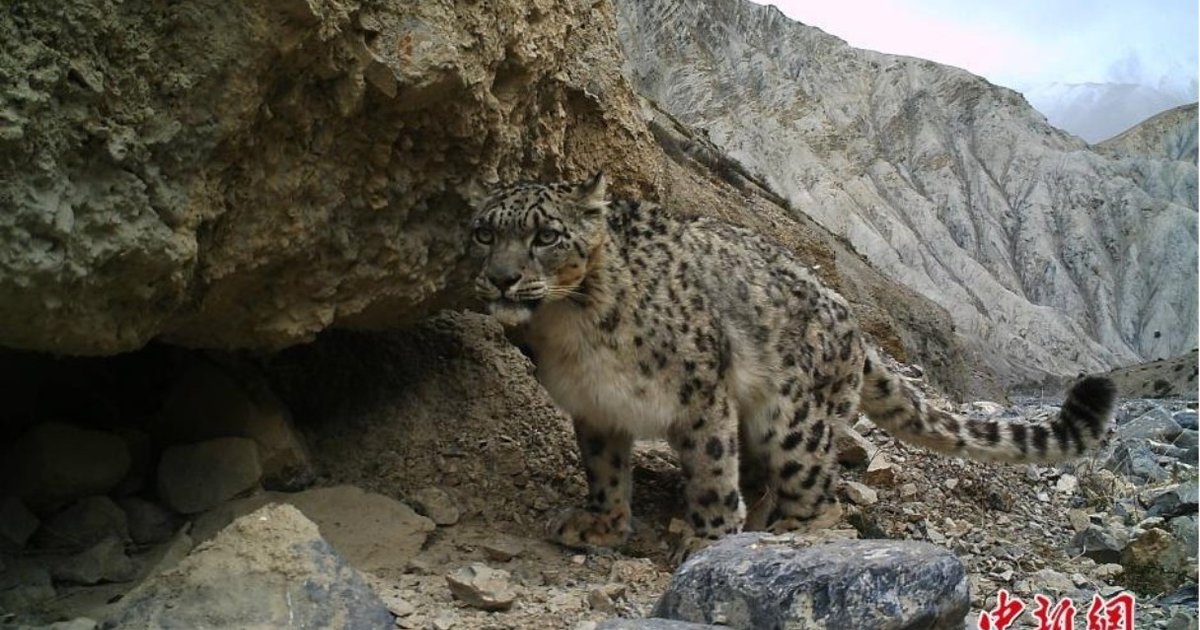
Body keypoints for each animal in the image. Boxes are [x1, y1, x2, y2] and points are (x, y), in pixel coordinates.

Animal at [466, 172, 1117, 560]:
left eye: (546, 235)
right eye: (482, 232)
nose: (500, 278)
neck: (571, 329)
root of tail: (854, 324)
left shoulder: (700, 393)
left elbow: (711, 468)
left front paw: (707, 538)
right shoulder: (596, 406)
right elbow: (604, 471)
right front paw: (600, 524)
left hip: (793, 416)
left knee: (816, 484)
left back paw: (788, 527)